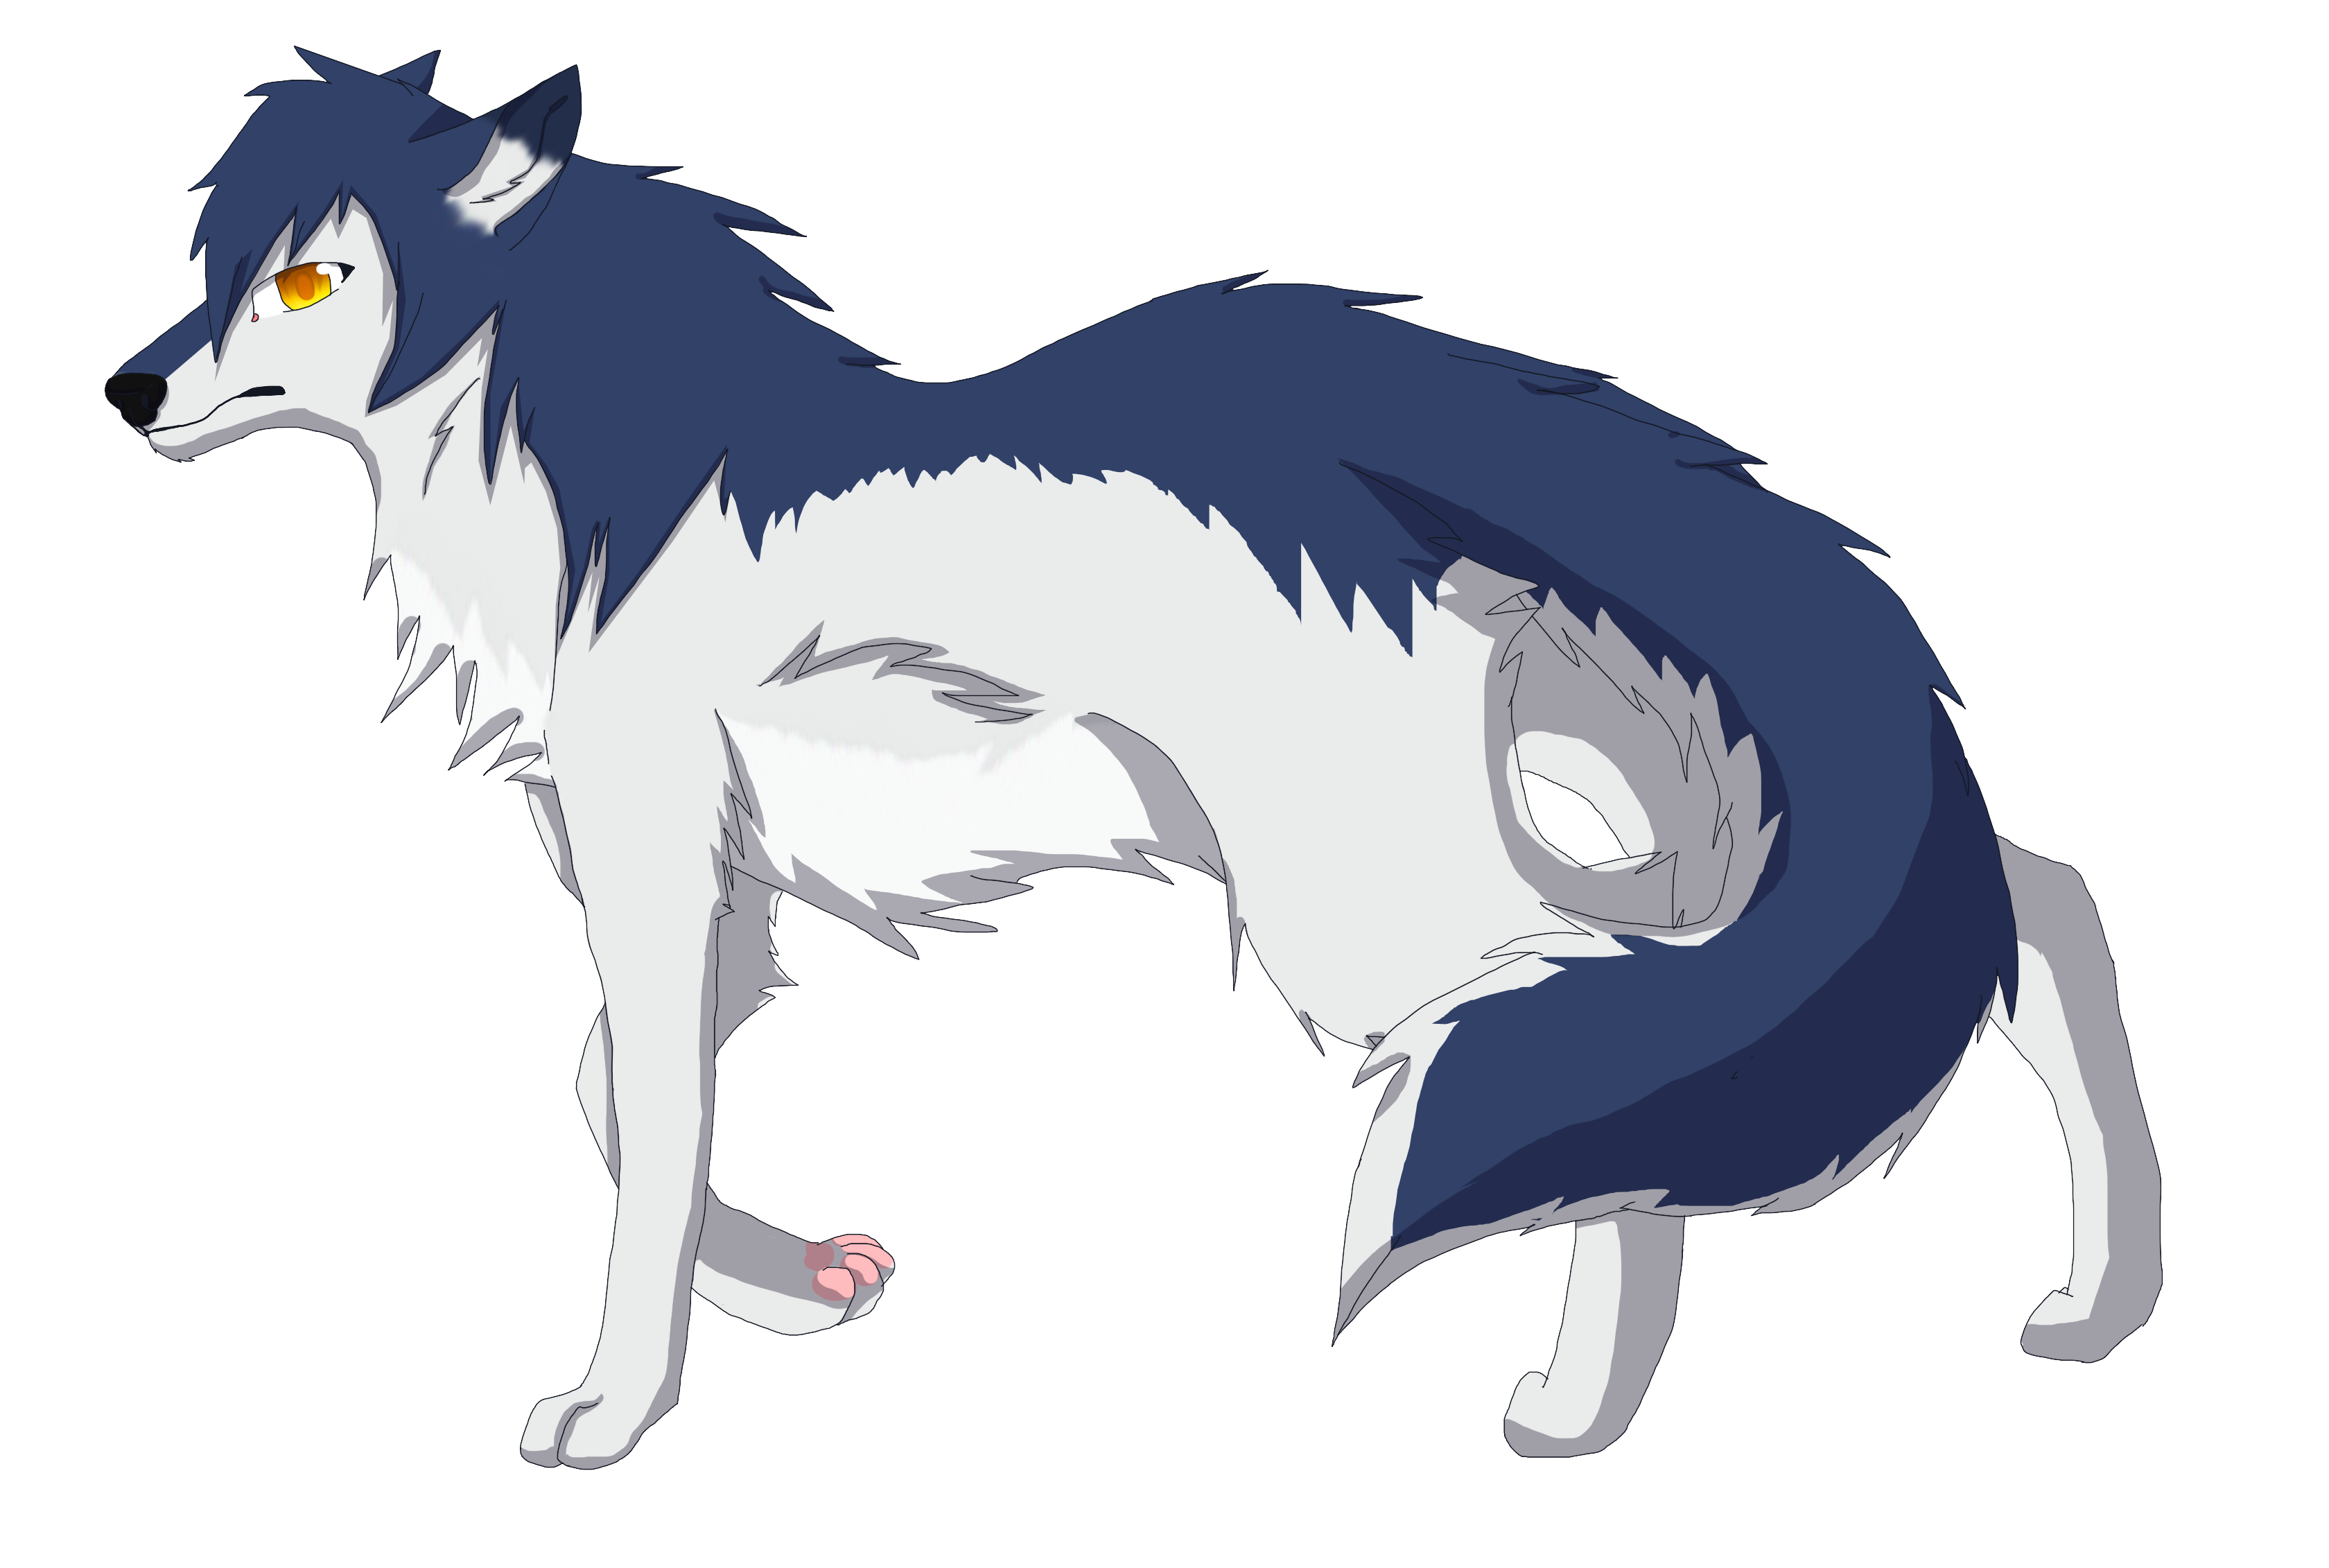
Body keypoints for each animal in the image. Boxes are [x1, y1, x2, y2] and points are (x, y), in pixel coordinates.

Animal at [107, 49, 2162, 1469]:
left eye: (309, 285)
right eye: (222, 271)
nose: (126, 390)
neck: (597, 491)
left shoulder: (651, 850)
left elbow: (647, 1125)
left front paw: (614, 1411)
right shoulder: (726, 885)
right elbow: (616, 1090)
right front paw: (809, 1285)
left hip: (1367, 906)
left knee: (1606, 1021)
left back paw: (1578, 1406)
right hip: (1619, 812)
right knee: (2013, 909)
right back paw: (2089, 1306)